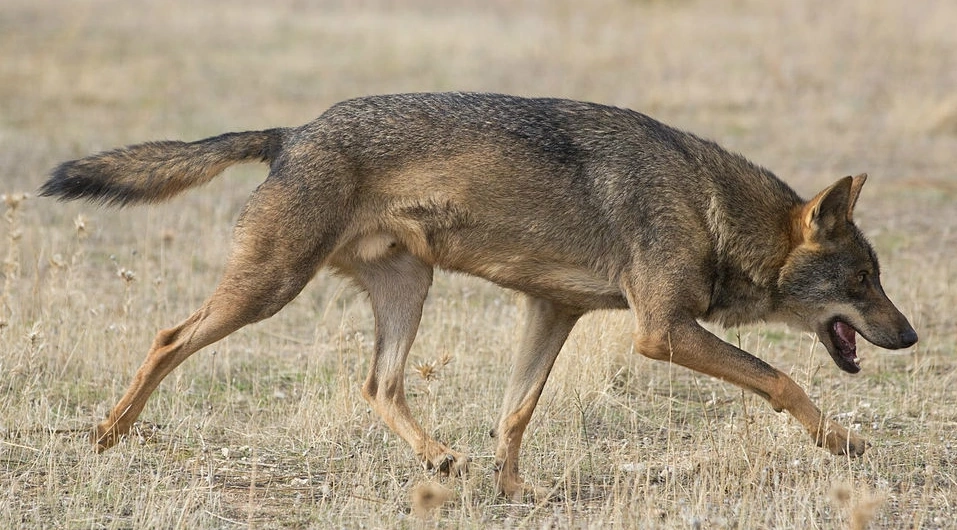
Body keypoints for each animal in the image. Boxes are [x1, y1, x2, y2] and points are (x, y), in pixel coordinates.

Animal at [40, 92, 917, 499]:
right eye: (862, 282)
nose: (911, 337)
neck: (709, 208)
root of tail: (291, 133)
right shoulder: (661, 332)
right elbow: (781, 379)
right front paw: (842, 443)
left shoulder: (553, 310)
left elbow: (514, 413)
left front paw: (514, 489)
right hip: (267, 289)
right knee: (167, 339)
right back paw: (107, 434)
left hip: (406, 289)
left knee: (377, 383)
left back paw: (437, 456)